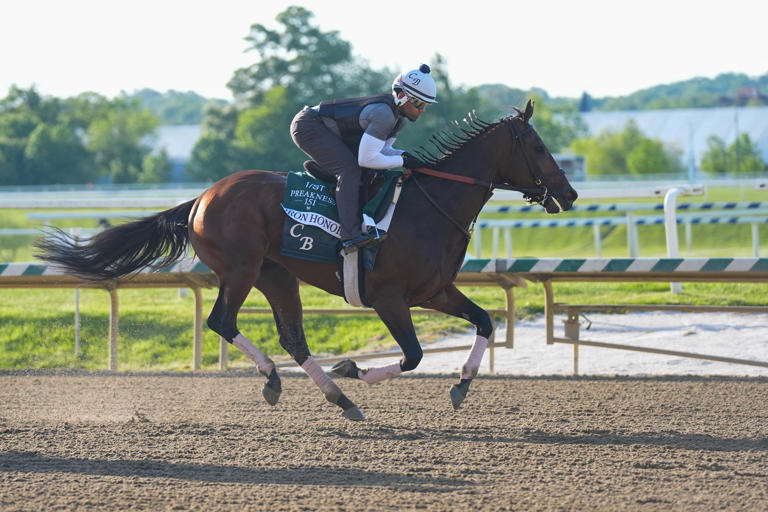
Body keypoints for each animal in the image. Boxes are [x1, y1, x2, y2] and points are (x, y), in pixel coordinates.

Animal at [35, 100, 577, 421]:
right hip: (242, 270)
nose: (570, 194)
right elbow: (413, 355)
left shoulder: (436, 291)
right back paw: (289, 381)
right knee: (221, 321)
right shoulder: (389, 298)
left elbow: (484, 321)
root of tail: (201, 199)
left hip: (277, 275)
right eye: (537, 145)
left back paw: (338, 399)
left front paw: (462, 384)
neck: (430, 206)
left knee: (292, 337)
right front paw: (355, 369)